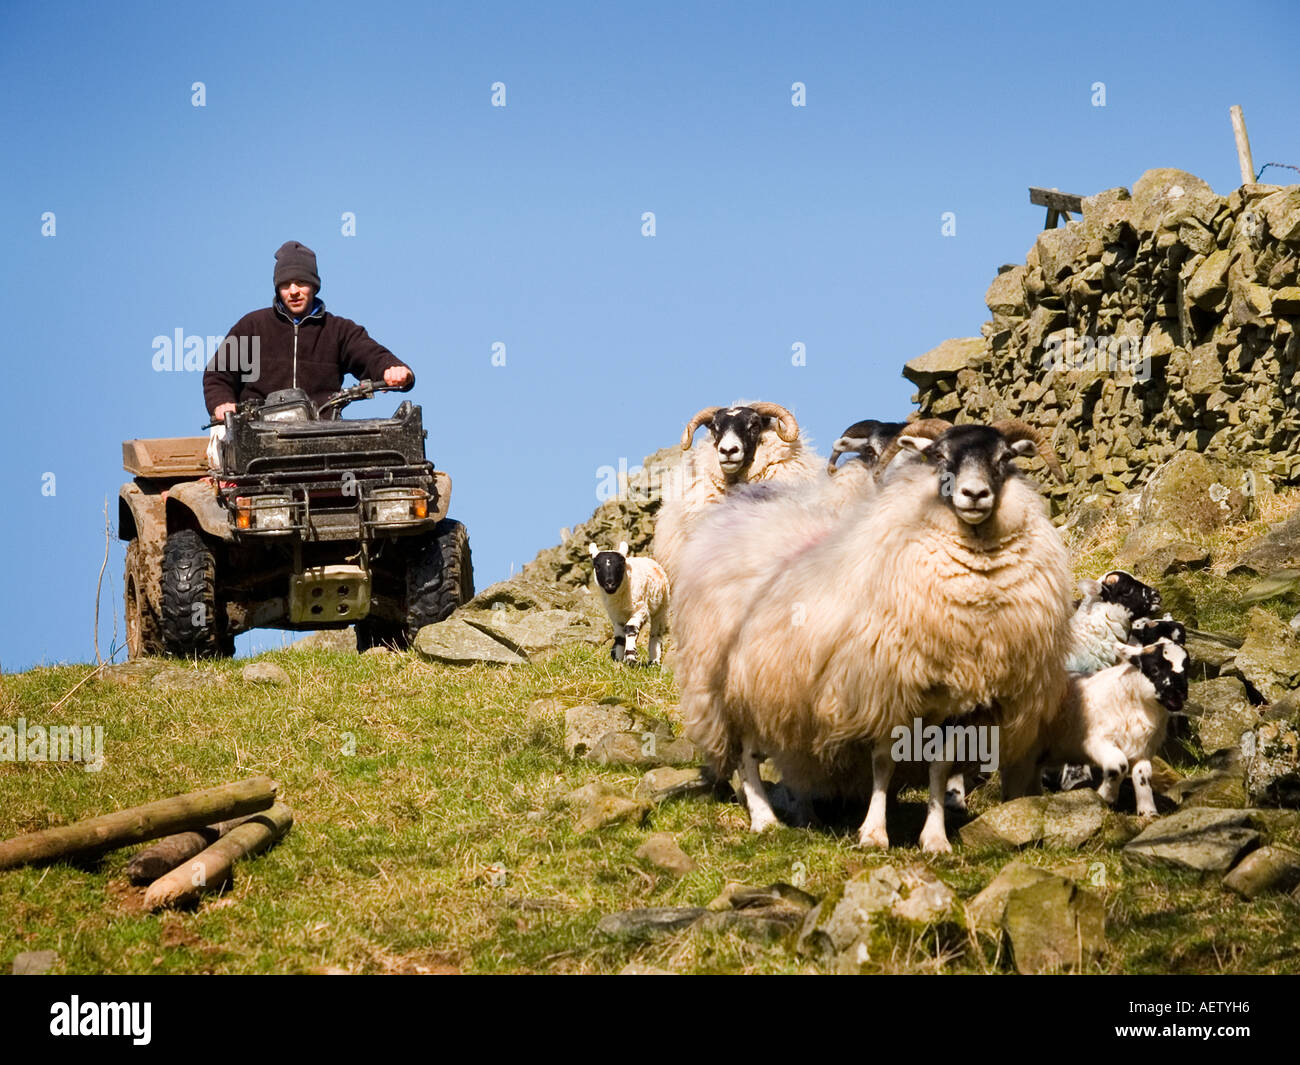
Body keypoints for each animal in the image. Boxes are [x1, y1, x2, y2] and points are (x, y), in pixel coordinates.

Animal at [672, 419, 1074, 852]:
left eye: (1004, 458)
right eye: (939, 457)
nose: (974, 494)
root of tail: (735, 509)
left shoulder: (961, 700)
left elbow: (939, 765)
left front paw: (935, 838)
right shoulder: (884, 685)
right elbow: (884, 761)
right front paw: (874, 833)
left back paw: (804, 813)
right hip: (726, 680)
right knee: (746, 754)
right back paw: (765, 819)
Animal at [1036, 638, 1188, 816]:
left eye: (1187, 668)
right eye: (1155, 669)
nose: (1180, 693)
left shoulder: (1143, 751)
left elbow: (1143, 776)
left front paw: (1148, 812)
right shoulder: (1096, 741)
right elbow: (1119, 765)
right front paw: (1106, 796)